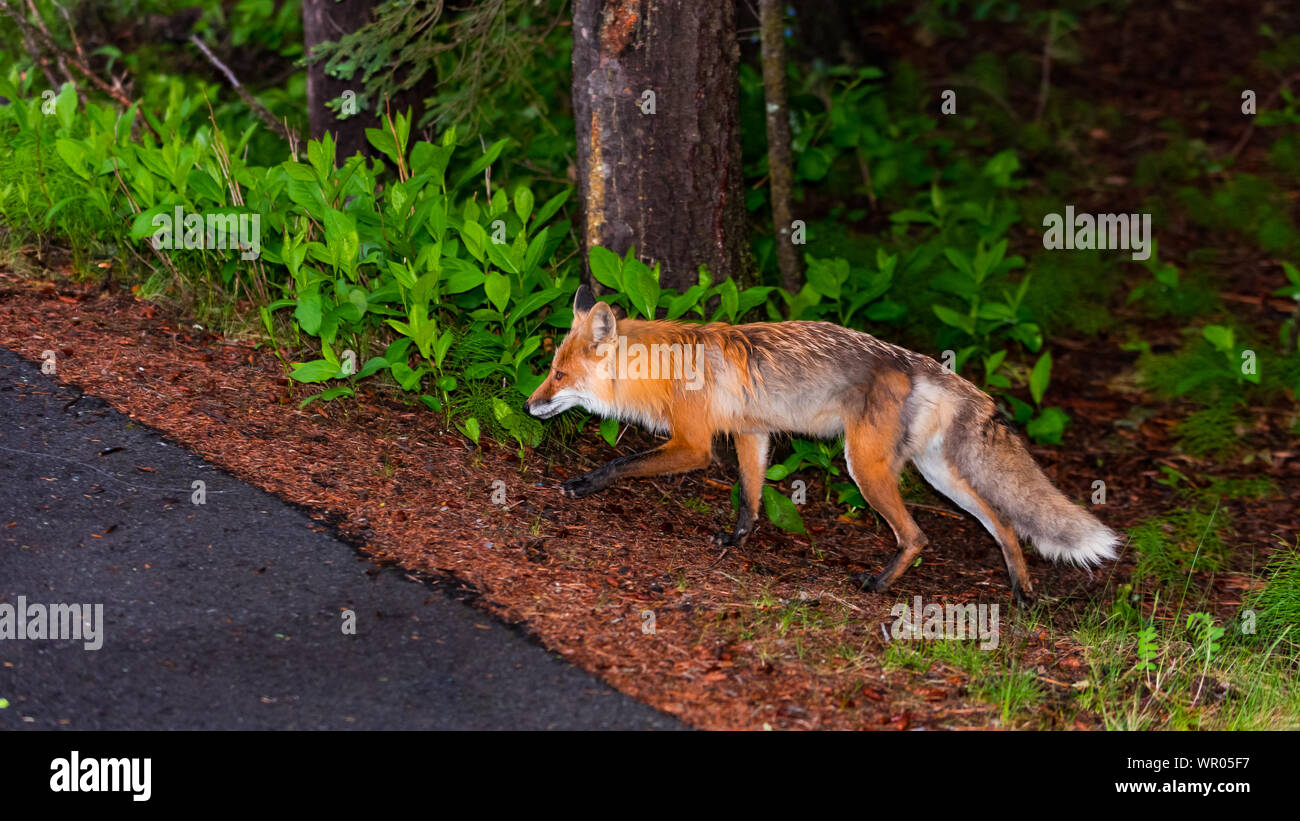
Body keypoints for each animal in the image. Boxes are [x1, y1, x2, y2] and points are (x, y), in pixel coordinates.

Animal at [525, 285, 1118, 602]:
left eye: (558, 375)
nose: (529, 405)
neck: (665, 368)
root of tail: (923, 364)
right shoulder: (752, 432)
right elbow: (750, 499)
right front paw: (735, 541)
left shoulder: (694, 444)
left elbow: (620, 463)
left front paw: (581, 484)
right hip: (940, 476)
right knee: (1002, 524)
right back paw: (1021, 589)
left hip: (867, 468)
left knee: (918, 535)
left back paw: (878, 585)